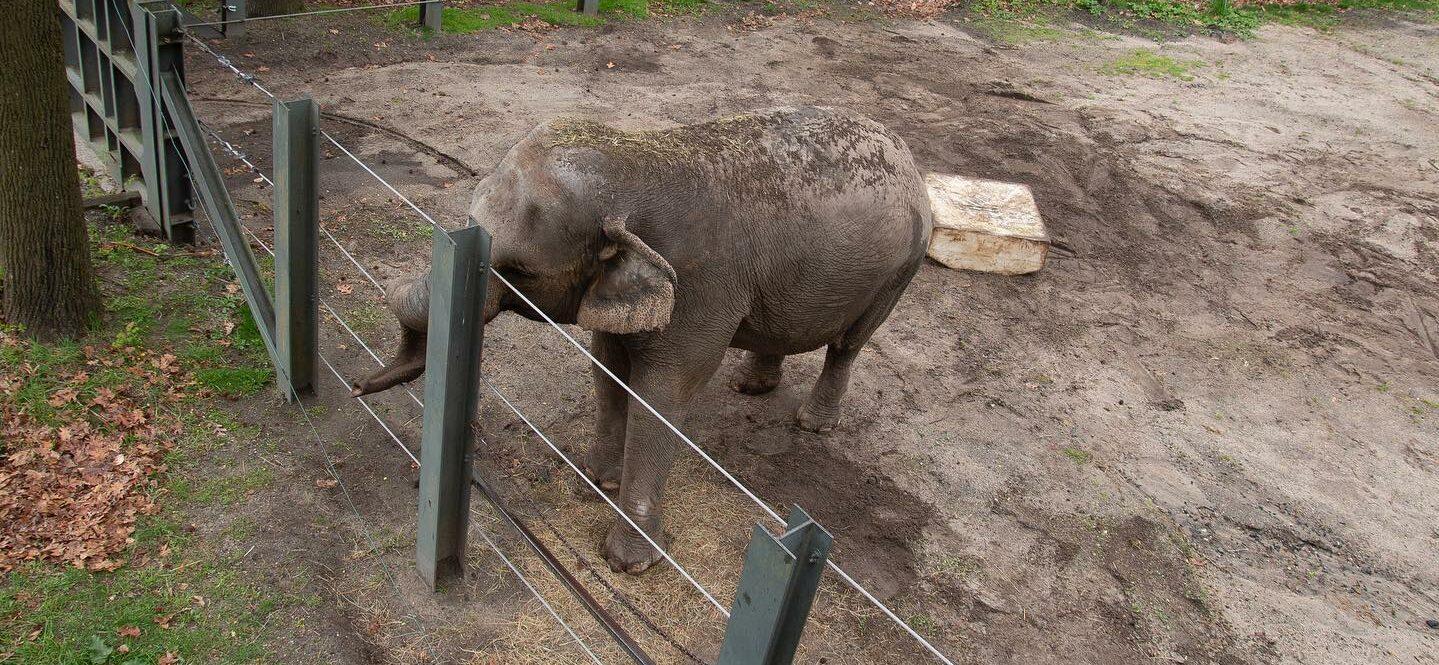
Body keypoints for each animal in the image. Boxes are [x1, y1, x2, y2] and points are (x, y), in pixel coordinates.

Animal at [351, 106, 933, 574]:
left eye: (518, 273)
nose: (356, 387)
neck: (633, 162)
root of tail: (903, 150)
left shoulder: (701, 285)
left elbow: (664, 394)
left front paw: (629, 563)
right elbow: (607, 365)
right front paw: (598, 482)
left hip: (901, 268)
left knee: (850, 343)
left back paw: (812, 423)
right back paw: (753, 386)